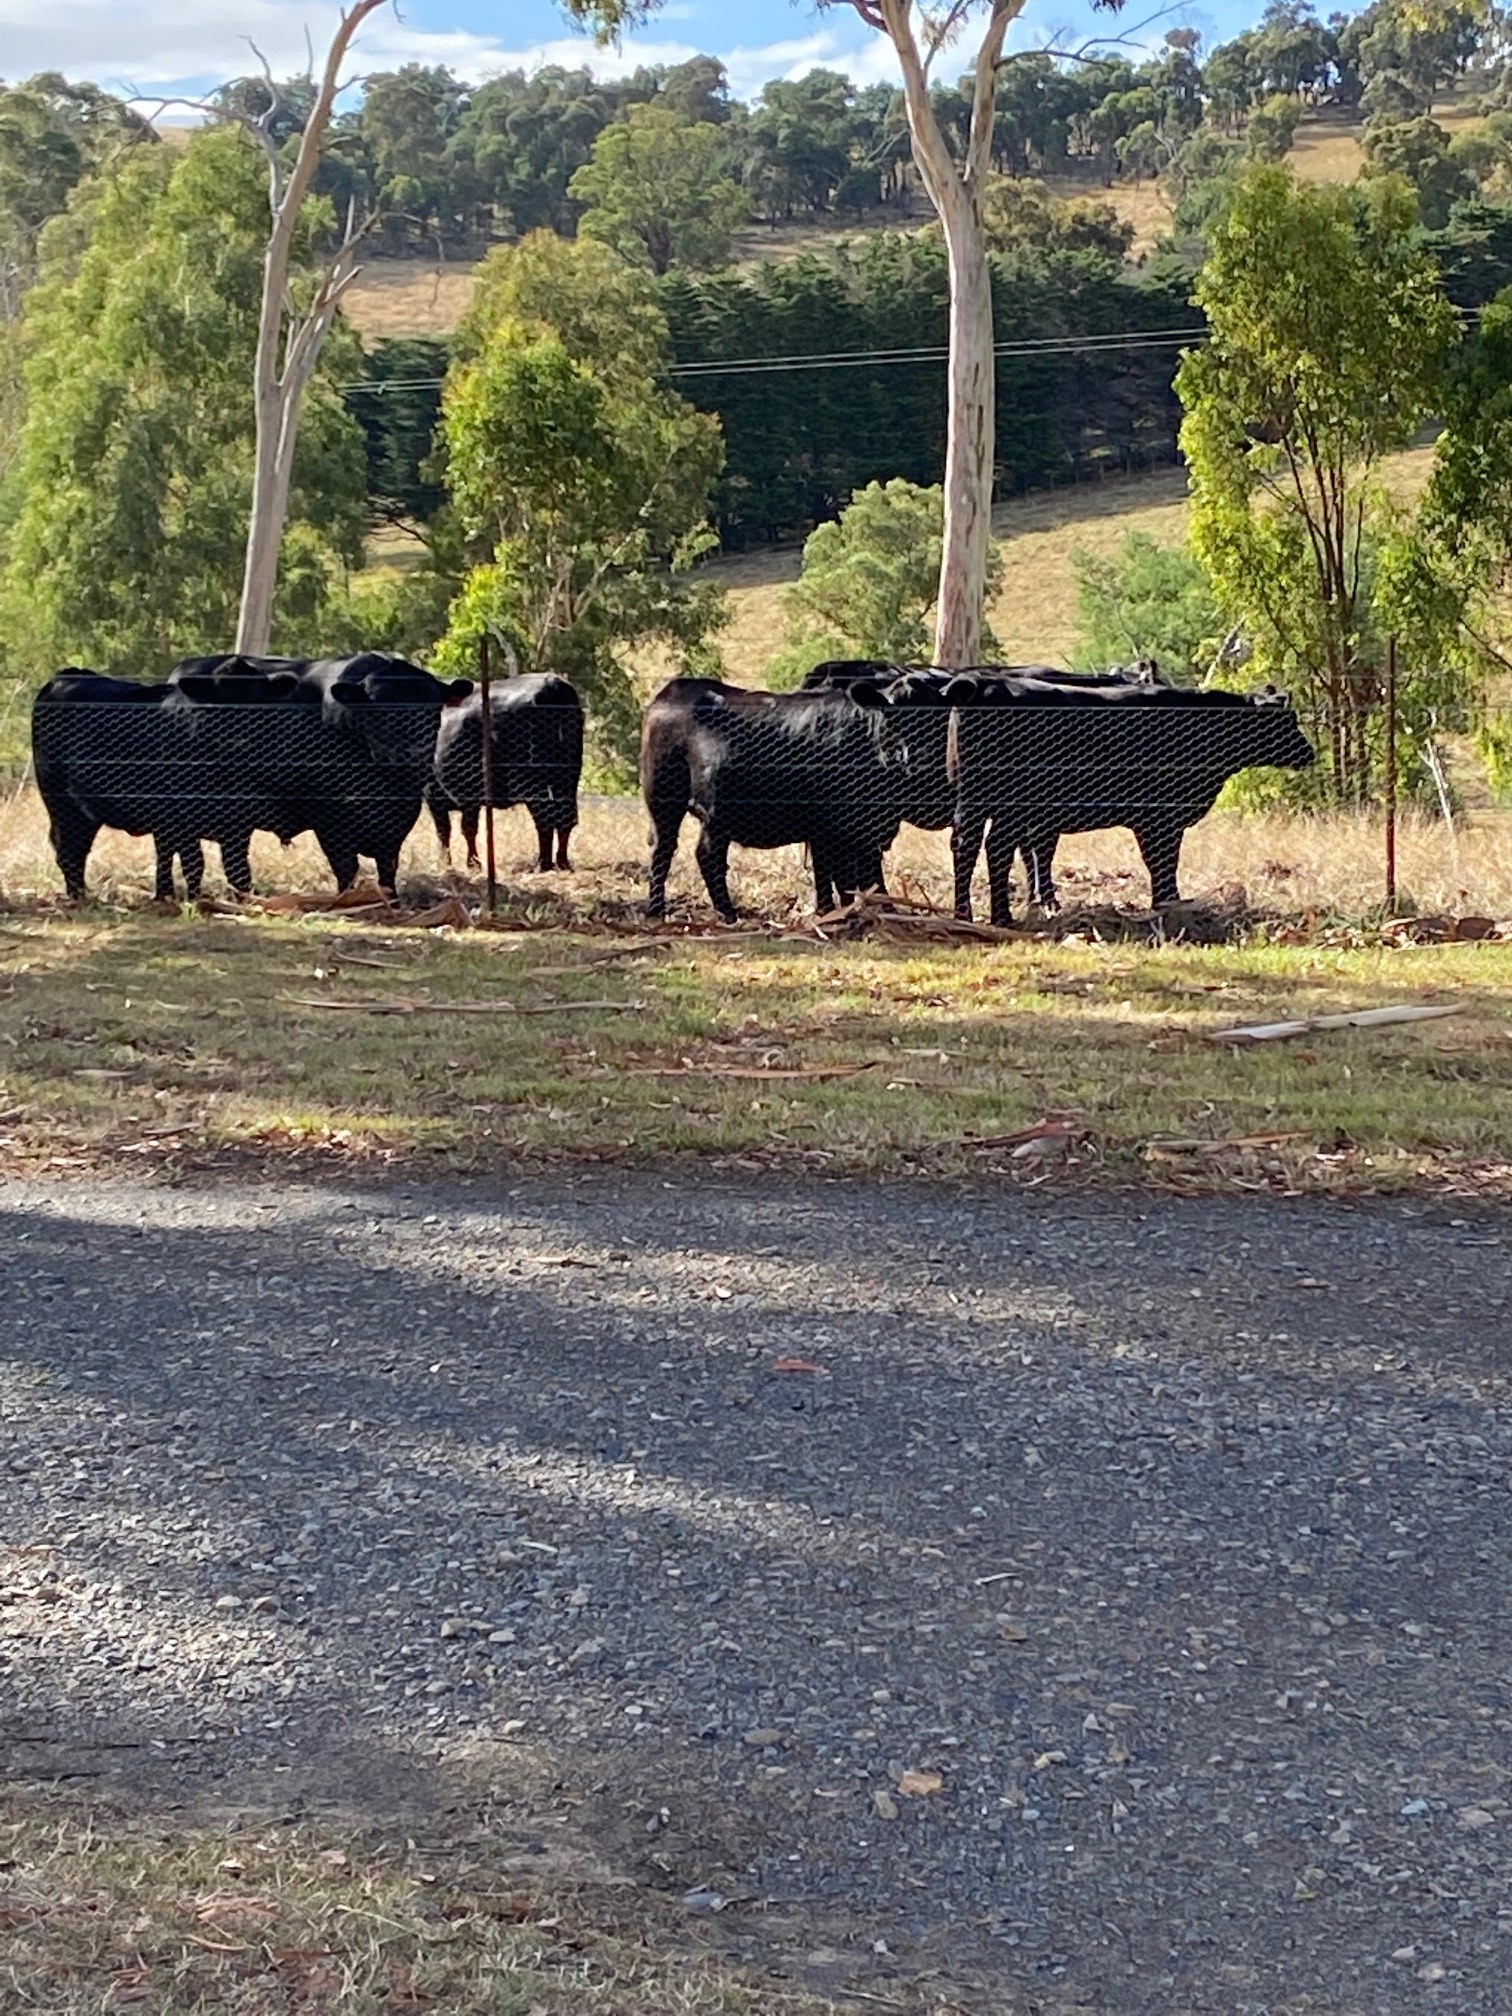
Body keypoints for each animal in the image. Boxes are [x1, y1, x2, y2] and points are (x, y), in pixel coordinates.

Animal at [31, 667, 296, 902]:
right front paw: (195, 900)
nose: (237, 742)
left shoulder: (239, 822)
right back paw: (78, 897)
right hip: (61, 803)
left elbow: (238, 869)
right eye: (216, 700)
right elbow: (195, 864)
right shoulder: (182, 817)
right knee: (68, 851)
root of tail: (66, 676)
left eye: (257, 699)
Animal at [425, 673, 583, 873]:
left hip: (533, 782)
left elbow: (454, 830)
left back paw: (544, 863)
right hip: (568, 777)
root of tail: (552, 682)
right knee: (566, 818)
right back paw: (562, 862)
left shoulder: (440, 795)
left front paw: (466, 864)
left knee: (546, 819)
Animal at [641, 675, 923, 921]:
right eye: (893, 717)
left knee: (667, 851)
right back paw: (720, 912)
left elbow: (850, 875)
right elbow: (840, 872)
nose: (908, 756)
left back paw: (660, 909)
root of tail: (671, 692)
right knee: (696, 854)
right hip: (683, 806)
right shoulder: (834, 828)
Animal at [945, 676, 1316, 924]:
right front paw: (1168, 902)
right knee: (995, 847)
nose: (1309, 752)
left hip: (974, 801)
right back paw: (1000, 916)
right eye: (1285, 720)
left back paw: (965, 913)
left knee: (968, 845)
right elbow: (1163, 861)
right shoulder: (1160, 818)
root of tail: (983, 685)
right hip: (1008, 804)